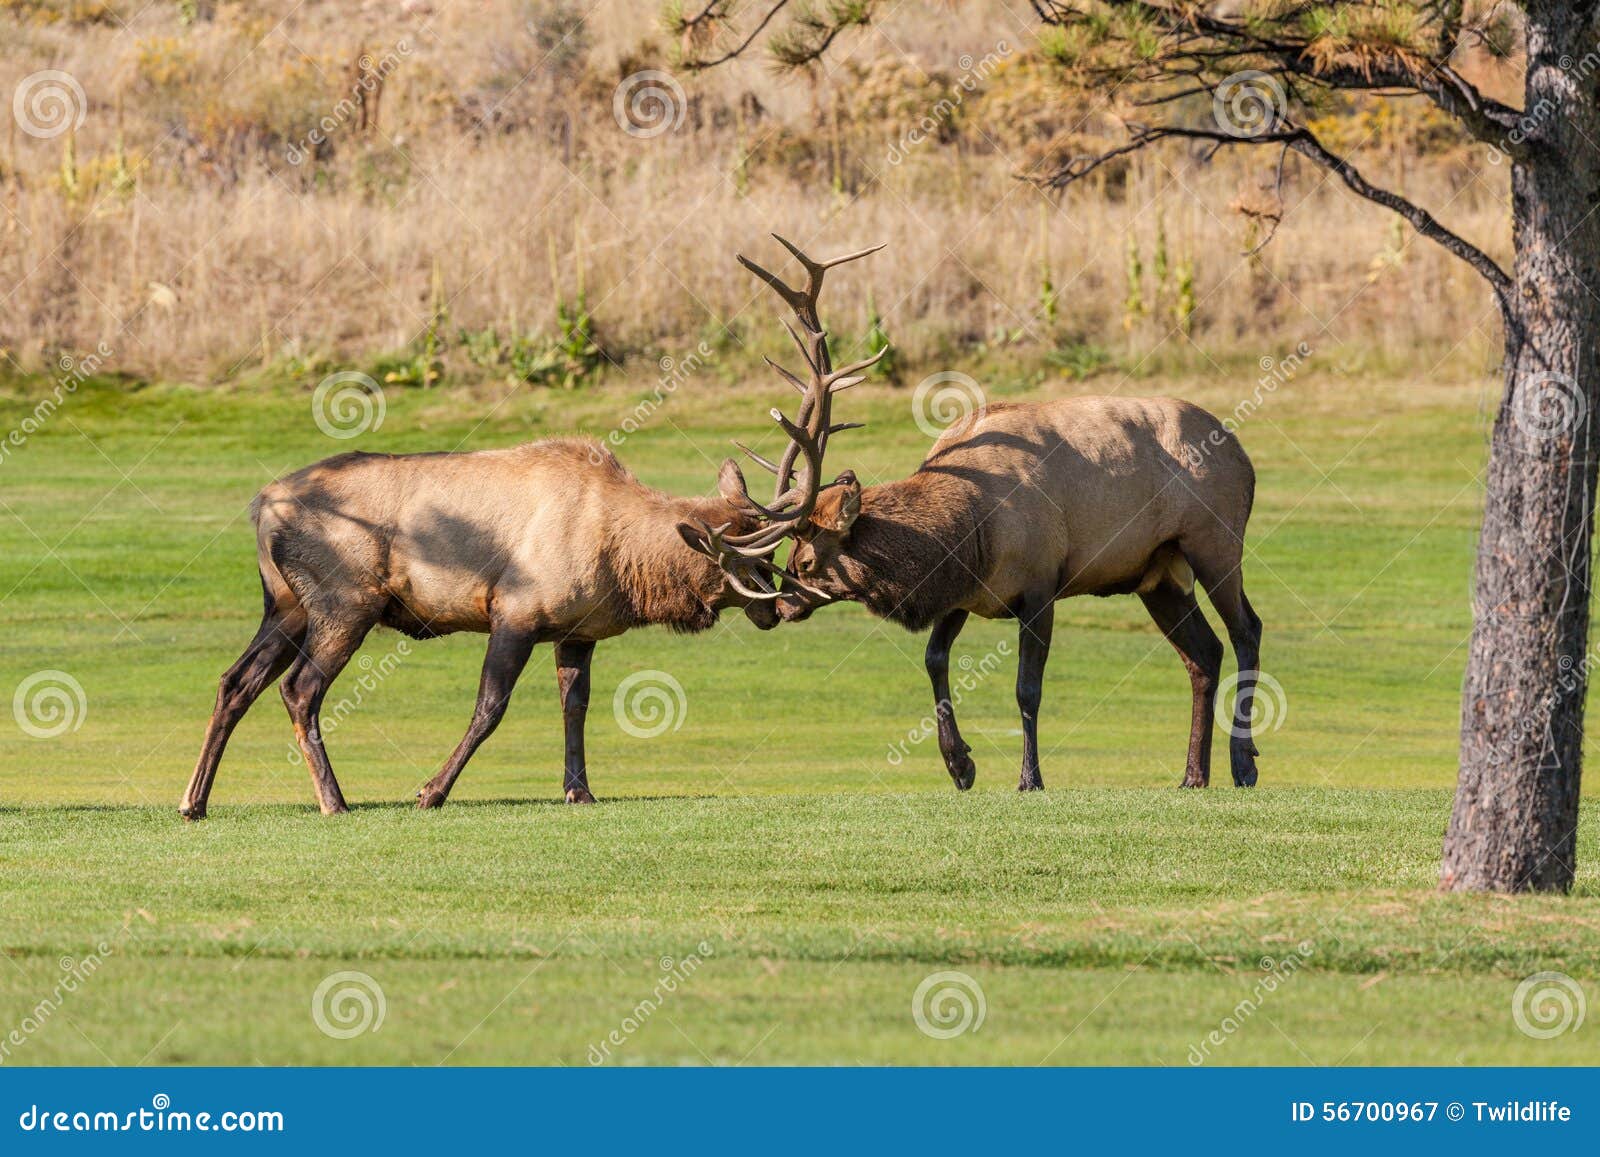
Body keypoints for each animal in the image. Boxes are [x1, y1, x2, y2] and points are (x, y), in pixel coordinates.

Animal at [179, 239, 882, 820]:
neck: (623, 560)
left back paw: (195, 801)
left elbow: (576, 705)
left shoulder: (578, 630)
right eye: (751, 560)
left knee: (234, 681)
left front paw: (580, 790)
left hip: (284, 601)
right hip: (344, 598)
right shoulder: (514, 609)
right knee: (299, 690)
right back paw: (333, 800)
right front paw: (430, 791)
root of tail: (262, 506)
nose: (787, 606)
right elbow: (491, 707)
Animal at [692, 245, 1264, 794]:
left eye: (806, 561)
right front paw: (959, 765)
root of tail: (1245, 457)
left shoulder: (1041, 583)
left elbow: (1026, 689)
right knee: (1204, 655)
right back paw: (1193, 774)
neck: (967, 527)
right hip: (1157, 573)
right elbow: (933, 659)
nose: (777, 608)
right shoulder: (961, 592)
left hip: (1215, 540)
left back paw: (1243, 764)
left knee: (1245, 629)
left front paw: (1029, 777)